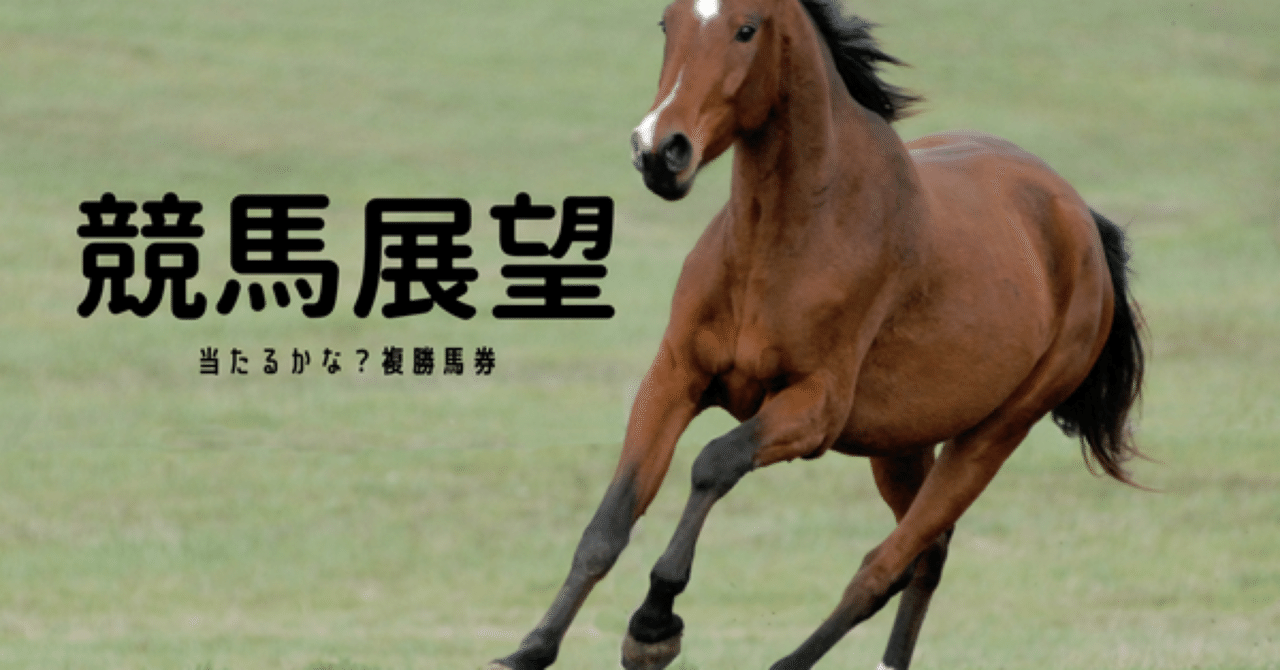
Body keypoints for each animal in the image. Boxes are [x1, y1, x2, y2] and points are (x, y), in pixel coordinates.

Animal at [490, 0, 1145, 667]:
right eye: (666, 23)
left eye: (747, 29)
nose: (658, 152)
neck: (785, 239)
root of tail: (1081, 220)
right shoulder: (675, 376)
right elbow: (611, 520)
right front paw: (530, 649)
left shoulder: (814, 409)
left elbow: (713, 463)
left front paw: (653, 624)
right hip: (902, 444)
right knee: (927, 556)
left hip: (993, 435)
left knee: (884, 567)